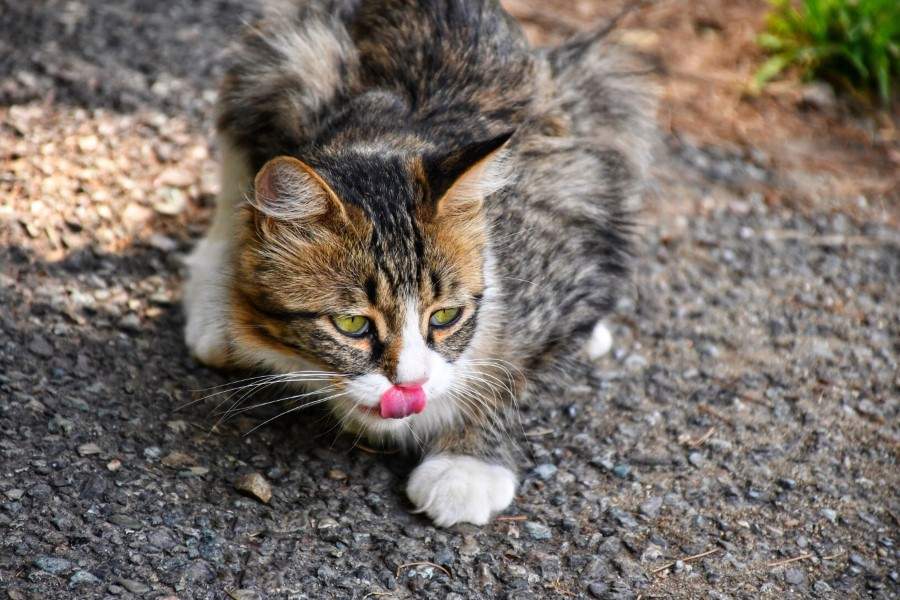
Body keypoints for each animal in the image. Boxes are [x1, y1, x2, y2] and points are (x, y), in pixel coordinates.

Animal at [186, 0, 656, 524]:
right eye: (351, 324)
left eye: (446, 315)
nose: (411, 385)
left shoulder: (576, 225)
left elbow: (516, 373)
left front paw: (468, 464)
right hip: (285, 56)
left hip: (600, 102)